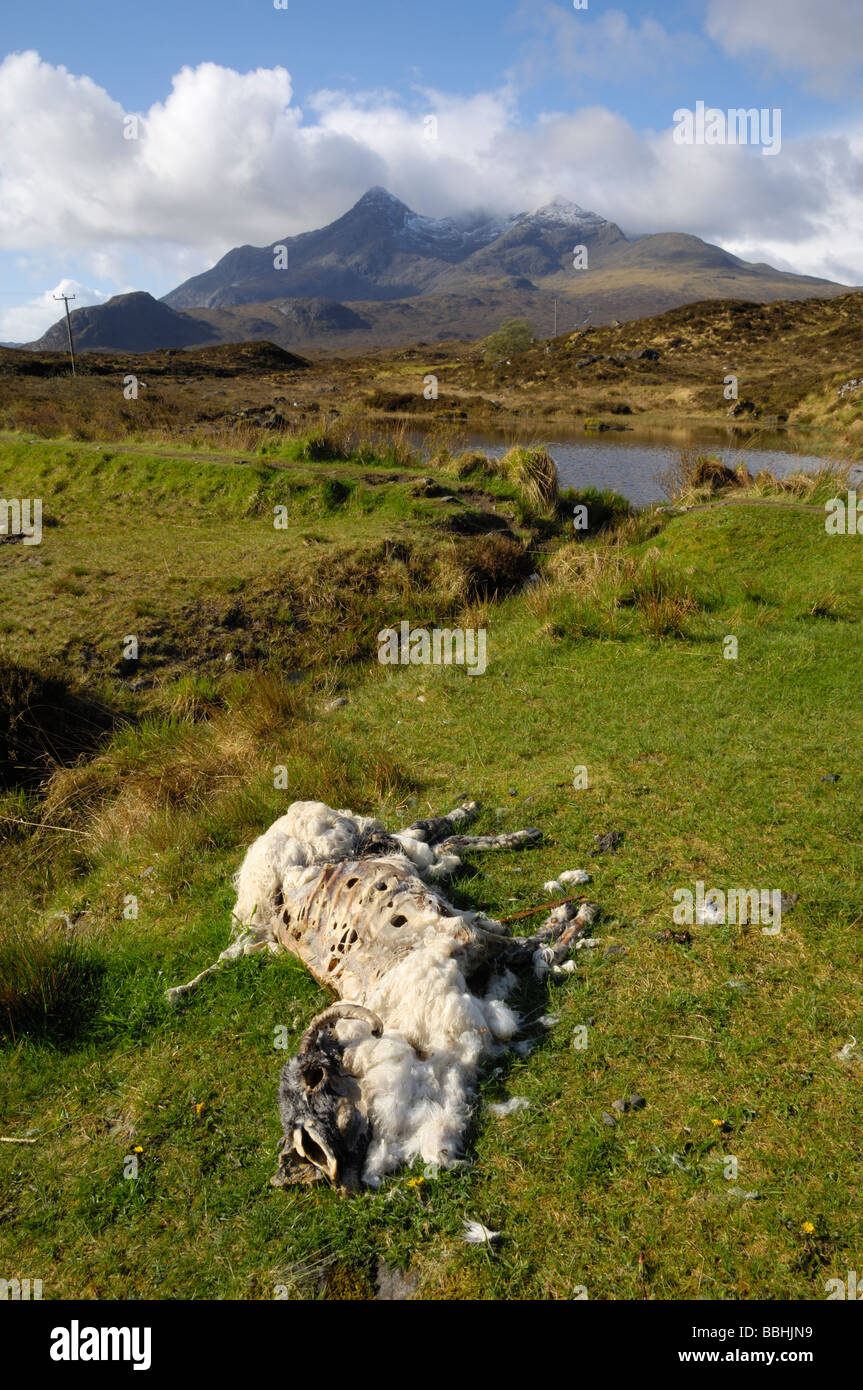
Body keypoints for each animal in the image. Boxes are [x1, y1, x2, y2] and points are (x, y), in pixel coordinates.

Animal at [167, 799, 599, 1189]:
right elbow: (530, 948)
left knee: (426, 827)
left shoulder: (466, 935)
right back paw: (509, 832)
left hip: (363, 835)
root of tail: (287, 819)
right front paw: (570, 915)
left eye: (315, 1077)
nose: (337, 1175)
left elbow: (533, 946)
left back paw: (491, 818)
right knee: (442, 843)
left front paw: (578, 912)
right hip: (387, 852)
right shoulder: (472, 945)